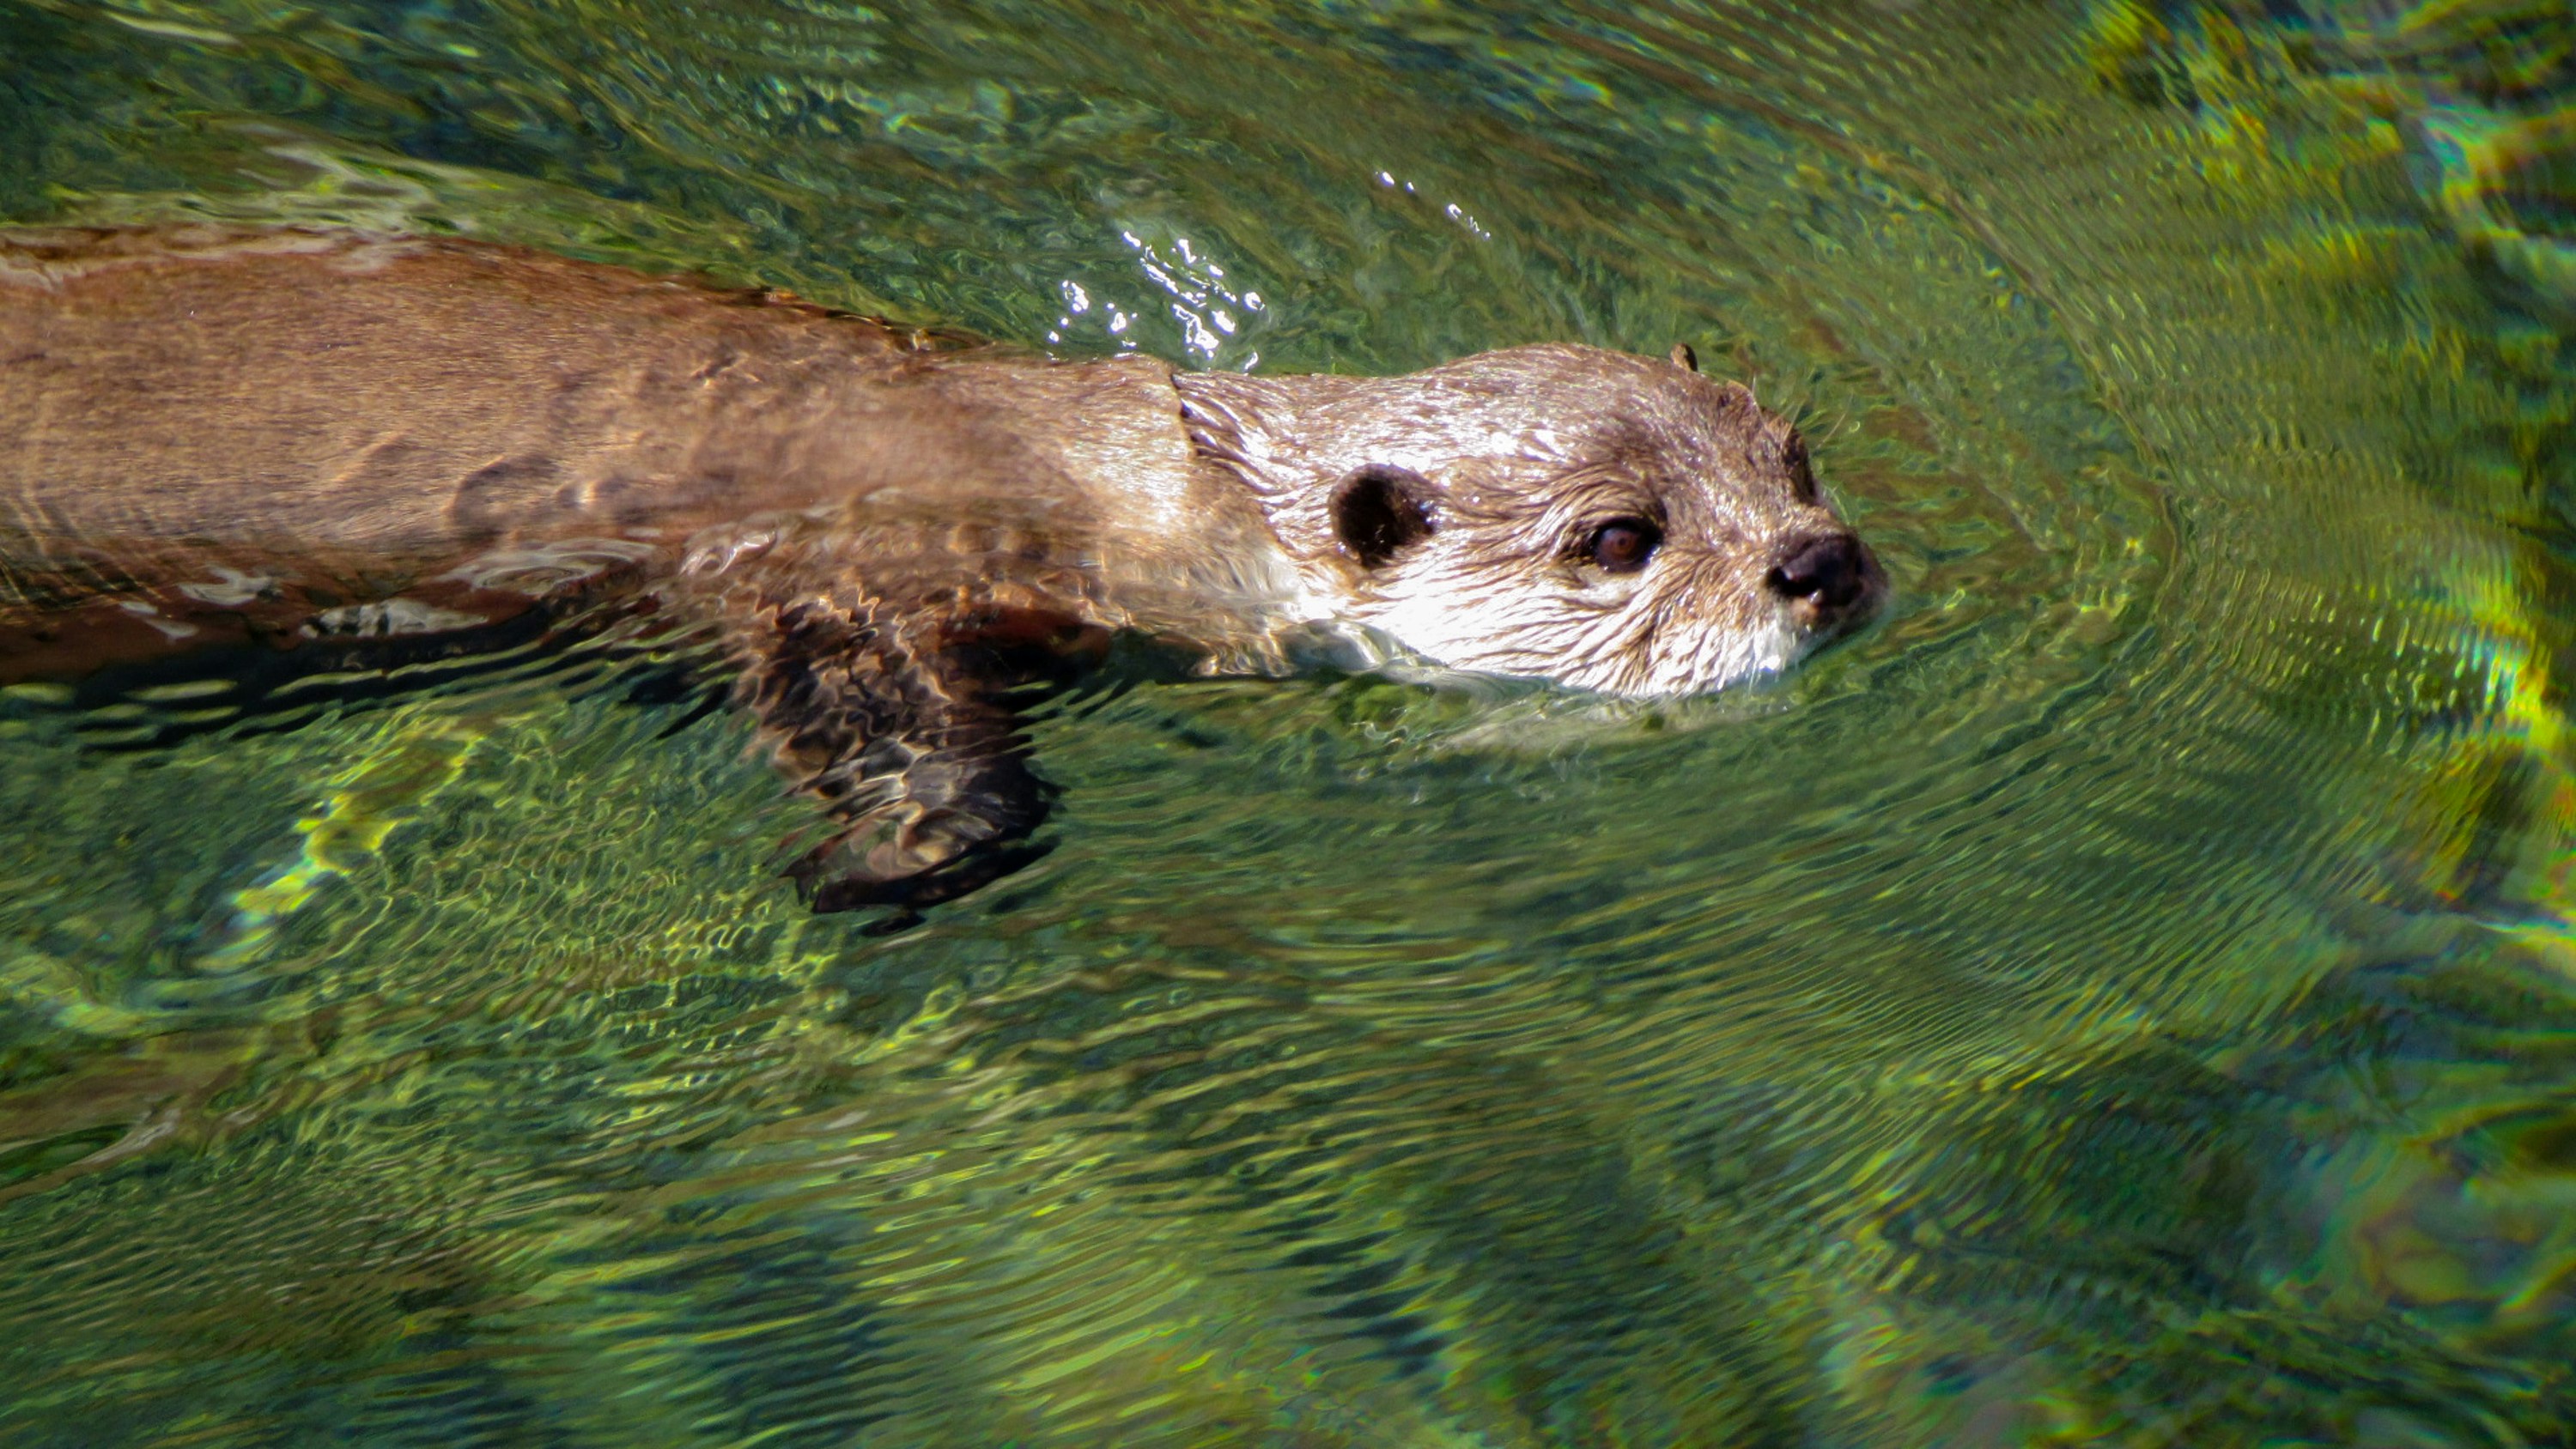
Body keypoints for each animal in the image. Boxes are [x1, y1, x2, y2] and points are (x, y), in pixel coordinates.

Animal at [0, 226, 1882, 913]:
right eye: (1620, 538)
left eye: (1790, 457)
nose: (1822, 564)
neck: (1113, 483)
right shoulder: (847, 571)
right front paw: (880, 867)